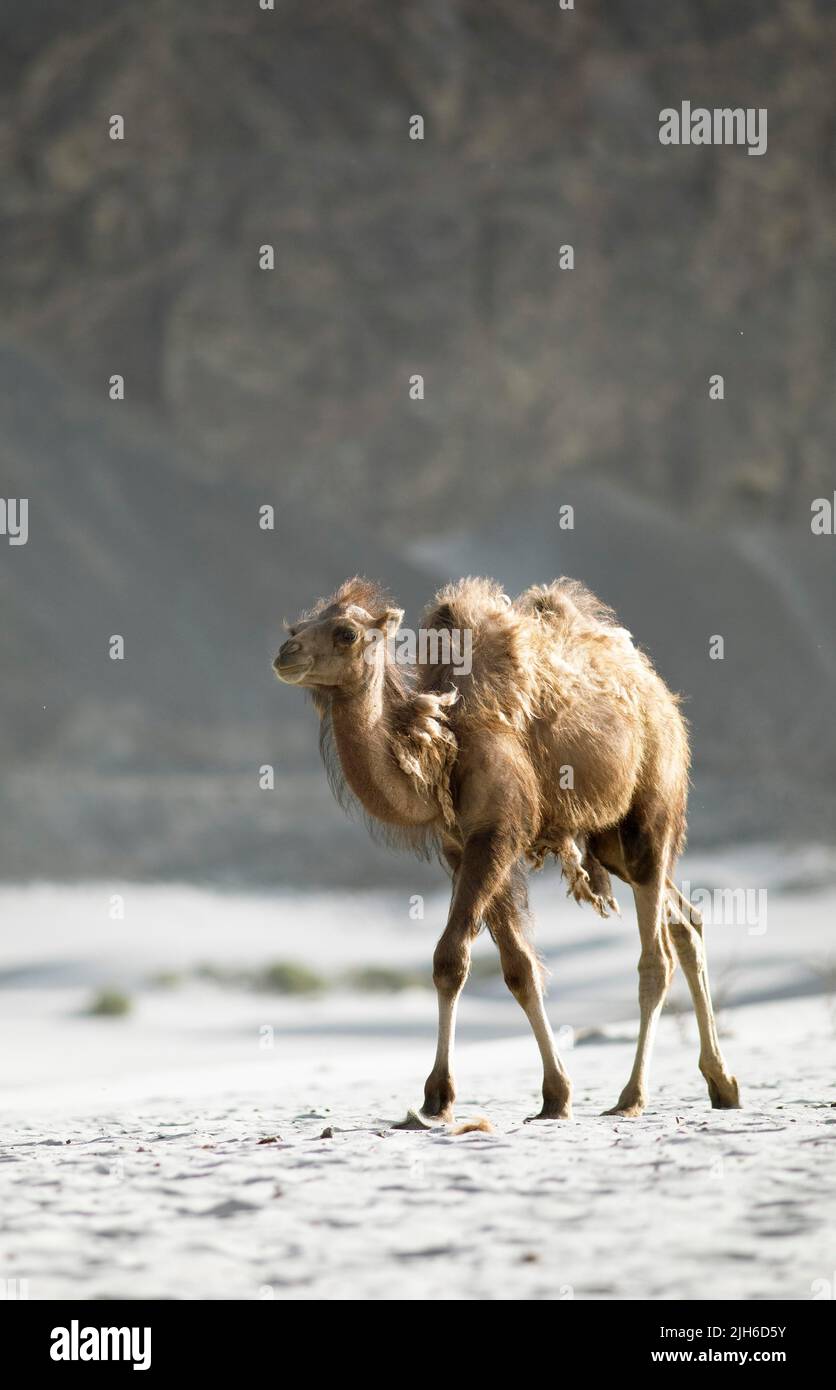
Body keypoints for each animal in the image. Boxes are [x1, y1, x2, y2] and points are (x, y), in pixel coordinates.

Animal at [273, 575, 740, 1122]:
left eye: (345, 633)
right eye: (295, 628)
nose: (284, 654)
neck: (441, 743)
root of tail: (659, 692)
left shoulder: (499, 832)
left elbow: (450, 959)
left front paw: (438, 1097)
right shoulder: (462, 846)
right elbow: (519, 968)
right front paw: (555, 1094)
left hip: (652, 810)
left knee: (656, 957)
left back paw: (631, 1097)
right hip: (608, 844)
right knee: (687, 920)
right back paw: (722, 1083)